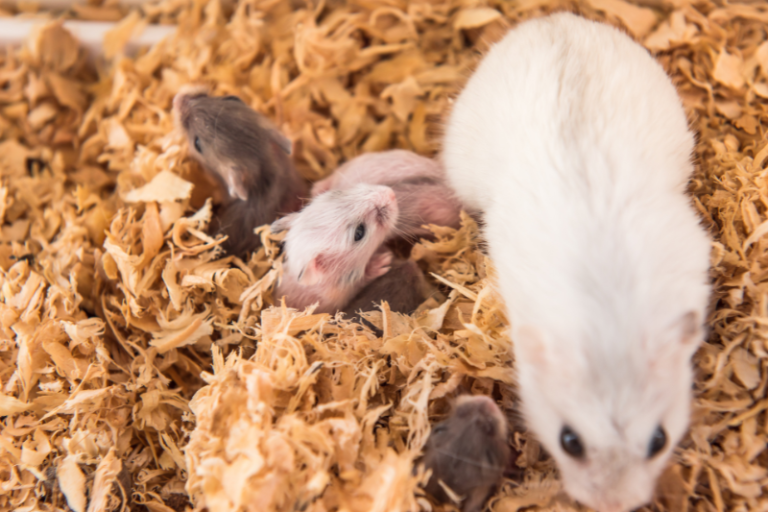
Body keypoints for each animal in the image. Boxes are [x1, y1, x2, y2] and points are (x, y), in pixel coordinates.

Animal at [270, 184, 399, 314]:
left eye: (336, 193)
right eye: (359, 232)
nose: (391, 194)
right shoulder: (340, 294)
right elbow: (362, 279)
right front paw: (383, 260)